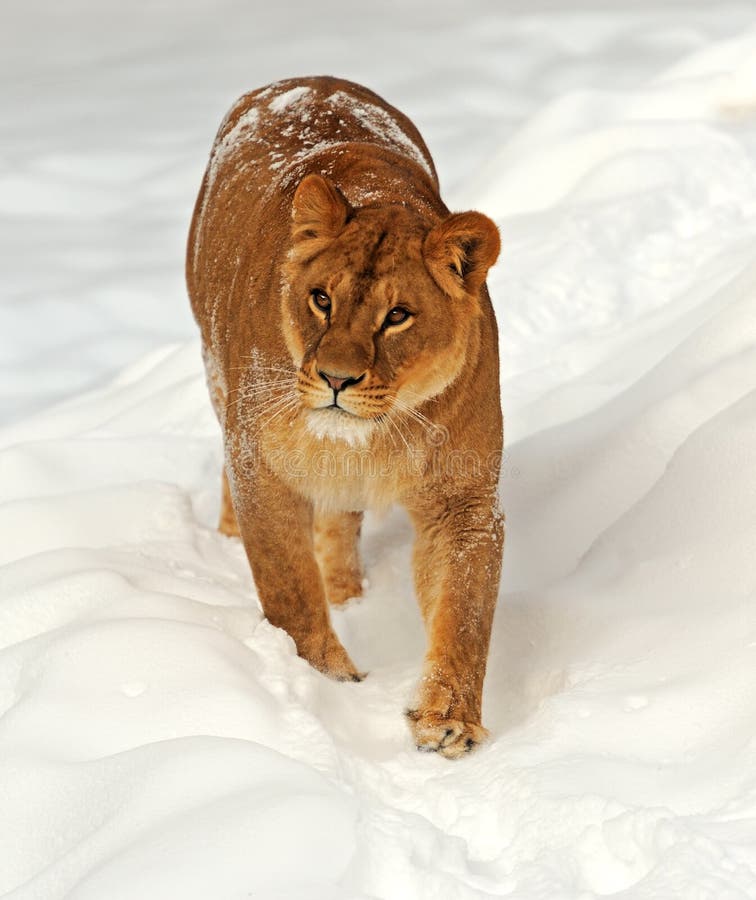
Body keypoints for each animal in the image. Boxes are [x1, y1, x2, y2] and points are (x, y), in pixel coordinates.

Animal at [187, 76, 504, 758]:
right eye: (321, 299)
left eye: (398, 316)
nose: (336, 380)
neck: (372, 438)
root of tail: (304, 79)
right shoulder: (263, 470)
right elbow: (287, 589)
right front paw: (325, 677)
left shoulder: (463, 500)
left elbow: (465, 609)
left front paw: (448, 719)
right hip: (215, 368)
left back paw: (349, 593)